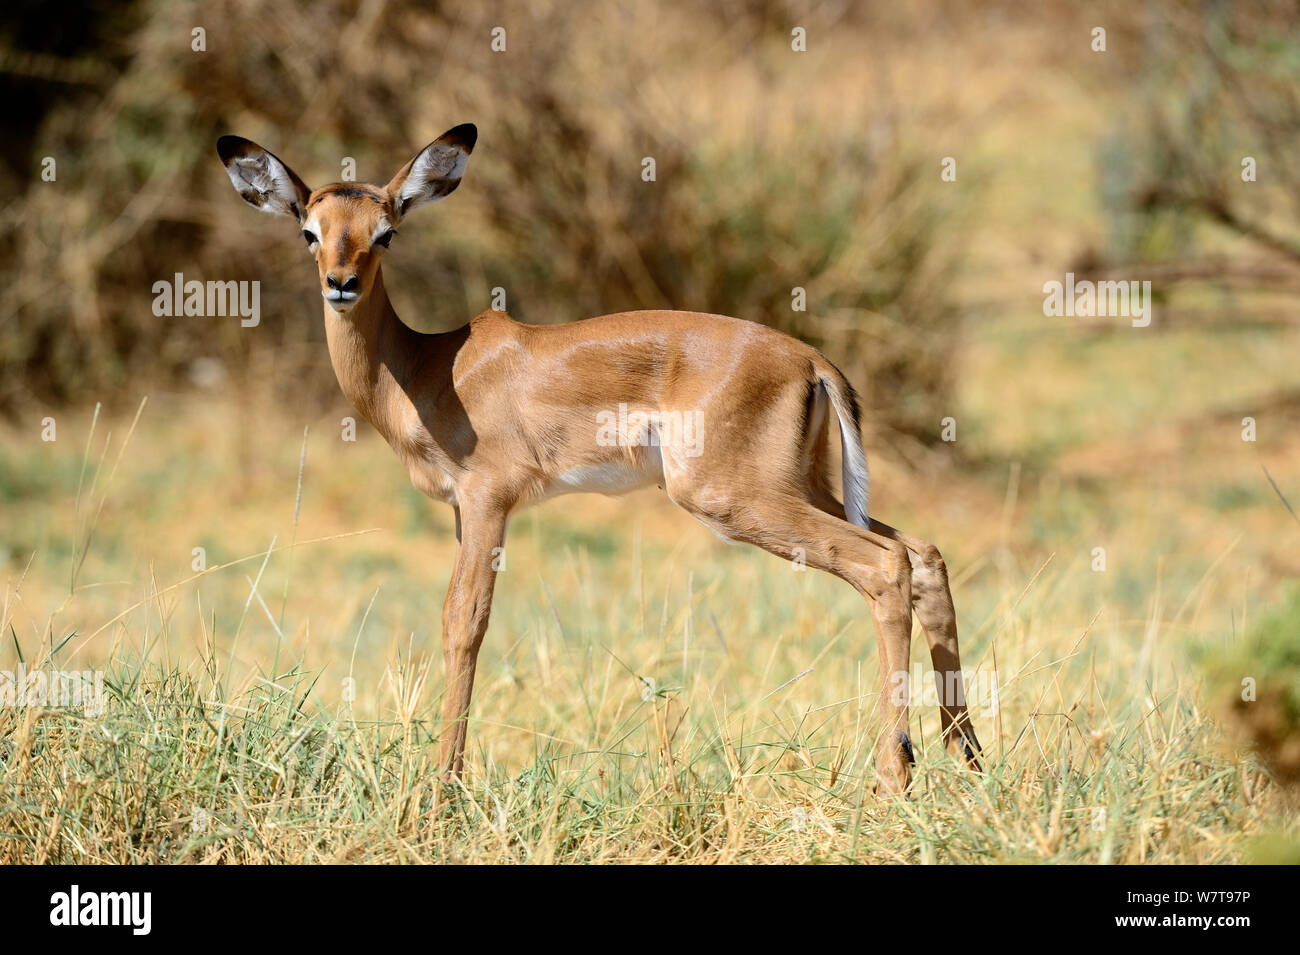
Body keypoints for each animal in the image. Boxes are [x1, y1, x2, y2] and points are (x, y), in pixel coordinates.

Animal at [216, 124, 982, 794]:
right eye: (310, 231)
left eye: (386, 231)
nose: (341, 283)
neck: (428, 369)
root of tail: (811, 360)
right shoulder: (464, 511)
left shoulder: (490, 499)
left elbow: (466, 622)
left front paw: (443, 790)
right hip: (804, 490)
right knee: (924, 553)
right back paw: (965, 758)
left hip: (738, 499)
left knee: (885, 564)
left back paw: (896, 773)